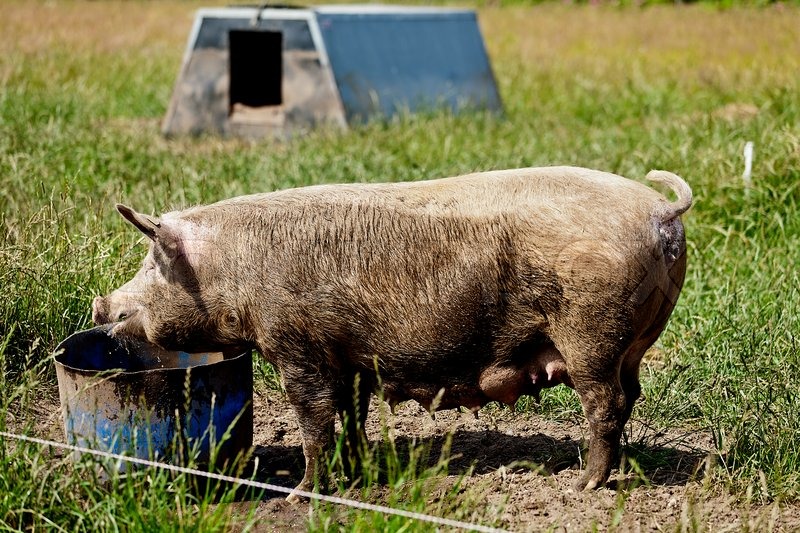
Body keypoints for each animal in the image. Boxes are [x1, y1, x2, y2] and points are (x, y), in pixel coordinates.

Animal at [92, 166, 692, 501]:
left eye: (152, 265)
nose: (101, 305)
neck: (231, 269)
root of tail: (662, 210)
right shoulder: (348, 355)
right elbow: (351, 413)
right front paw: (355, 472)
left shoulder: (296, 344)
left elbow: (313, 418)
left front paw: (300, 495)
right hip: (632, 343)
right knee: (631, 396)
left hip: (590, 334)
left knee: (605, 404)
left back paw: (583, 484)